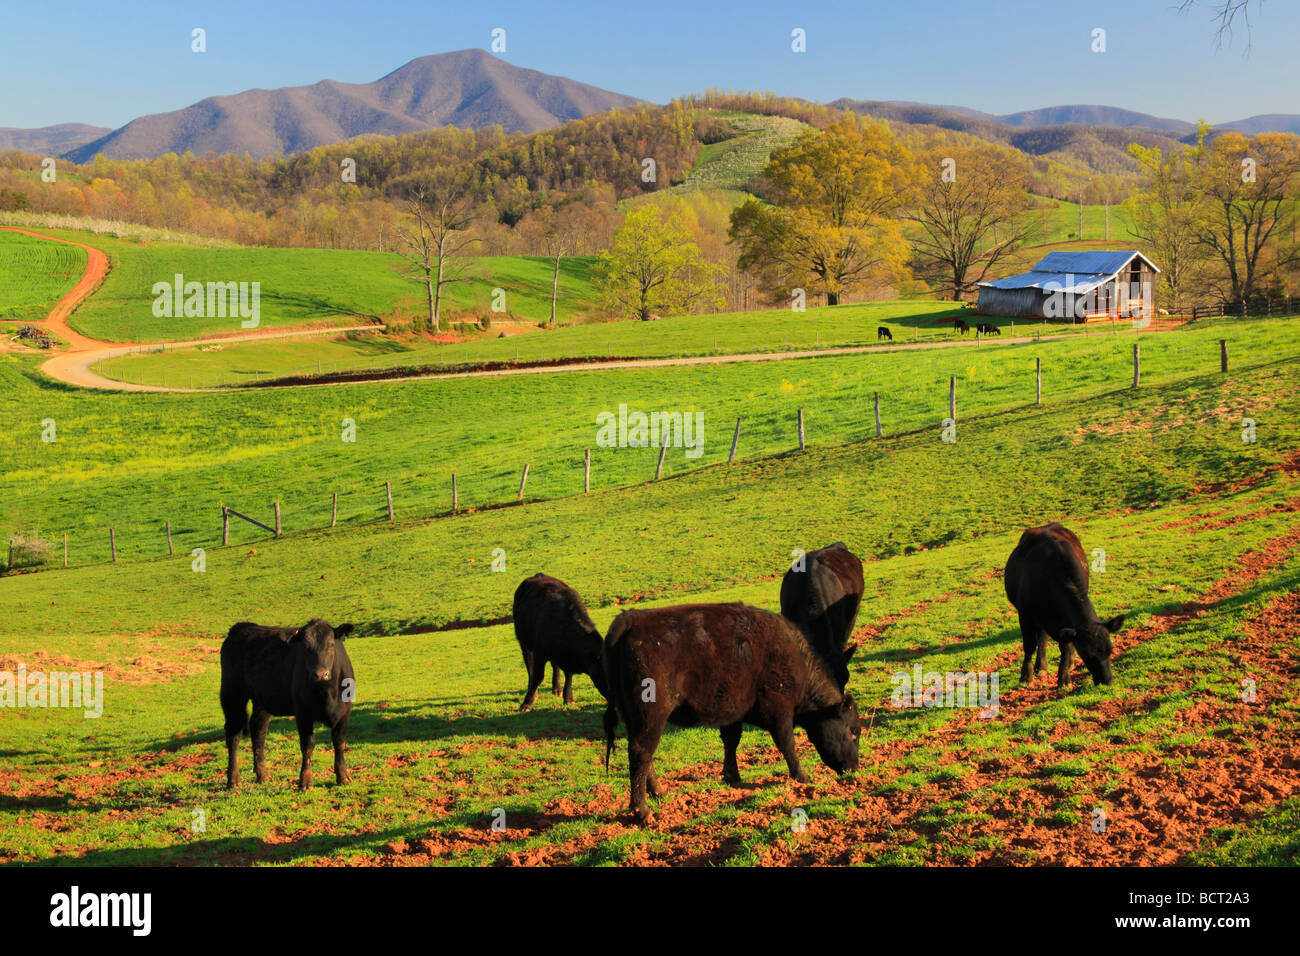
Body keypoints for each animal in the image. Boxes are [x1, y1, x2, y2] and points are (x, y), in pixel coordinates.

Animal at [220, 619, 356, 790]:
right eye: (305, 647)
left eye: (331, 644)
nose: (320, 674)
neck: (327, 693)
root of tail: (242, 626)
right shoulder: (303, 713)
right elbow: (308, 745)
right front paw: (305, 782)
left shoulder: (344, 712)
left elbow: (339, 743)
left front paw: (343, 776)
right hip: (232, 695)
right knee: (233, 734)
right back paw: (233, 780)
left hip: (262, 700)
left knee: (258, 730)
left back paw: (262, 775)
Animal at [513, 573, 607, 711]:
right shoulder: (540, 652)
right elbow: (537, 676)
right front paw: (527, 703)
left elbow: (568, 674)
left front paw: (568, 698)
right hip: (525, 643)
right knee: (530, 667)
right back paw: (534, 693)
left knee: (555, 666)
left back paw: (557, 688)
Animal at [602, 603, 860, 824]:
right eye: (853, 732)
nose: (854, 769)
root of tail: (631, 619)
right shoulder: (779, 711)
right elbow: (787, 744)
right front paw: (802, 777)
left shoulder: (733, 713)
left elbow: (731, 741)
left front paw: (732, 776)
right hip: (651, 716)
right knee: (641, 753)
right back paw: (642, 810)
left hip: (634, 717)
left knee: (643, 756)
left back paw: (659, 792)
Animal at [1004, 523, 1124, 688]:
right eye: (1087, 655)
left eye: (1110, 651)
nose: (1107, 681)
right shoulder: (1025, 614)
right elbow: (1029, 645)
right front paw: (1026, 676)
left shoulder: (1064, 622)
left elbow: (1066, 648)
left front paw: (1064, 678)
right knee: (1041, 638)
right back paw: (1041, 667)